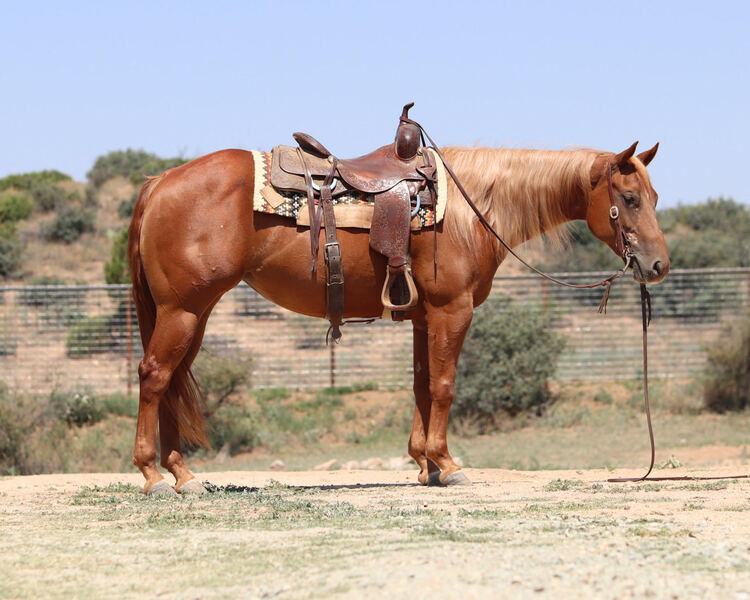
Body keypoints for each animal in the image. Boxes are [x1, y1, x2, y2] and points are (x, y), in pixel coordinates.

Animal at [127, 138, 669, 494]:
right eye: (630, 199)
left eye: (655, 197)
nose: (659, 266)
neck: (472, 206)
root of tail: (159, 182)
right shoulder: (453, 309)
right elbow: (445, 385)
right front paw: (448, 464)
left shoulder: (424, 316)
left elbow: (422, 384)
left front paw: (425, 465)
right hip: (183, 310)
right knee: (155, 376)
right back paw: (154, 475)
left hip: (193, 314)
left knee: (173, 379)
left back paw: (183, 475)